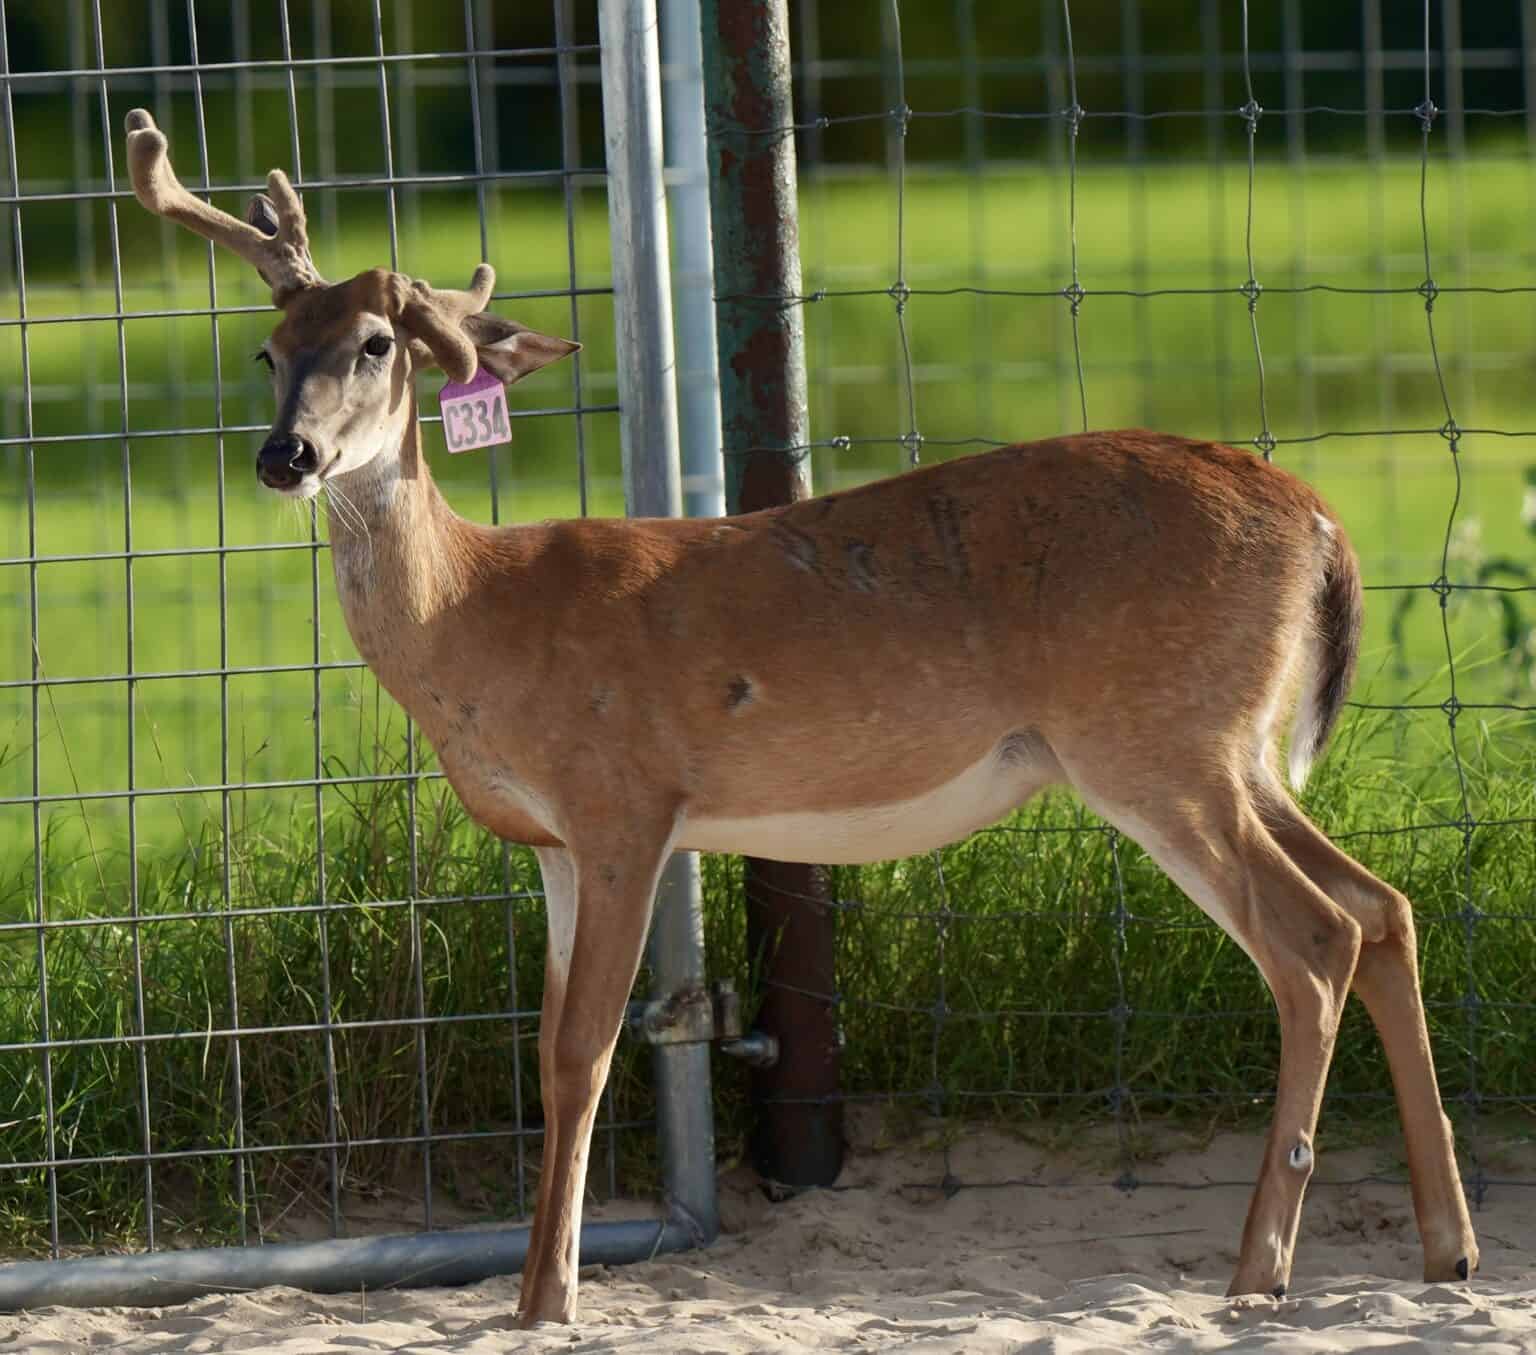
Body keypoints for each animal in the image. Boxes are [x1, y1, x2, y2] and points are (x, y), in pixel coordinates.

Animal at [121, 107, 1478, 1324]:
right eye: (267, 350)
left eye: (375, 344)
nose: (286, 456)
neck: (478, 614)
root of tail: (1321, 519)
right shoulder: (552, 841)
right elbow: (550, 1058)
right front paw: (534, 1286)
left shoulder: (626, 802)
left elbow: (585, 1051)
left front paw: (548, 1298)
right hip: (1232, 745)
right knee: (1384, 907)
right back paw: (1445, 1247)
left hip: (1159, 741)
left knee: (1313, 938)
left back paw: (1262, 1267)